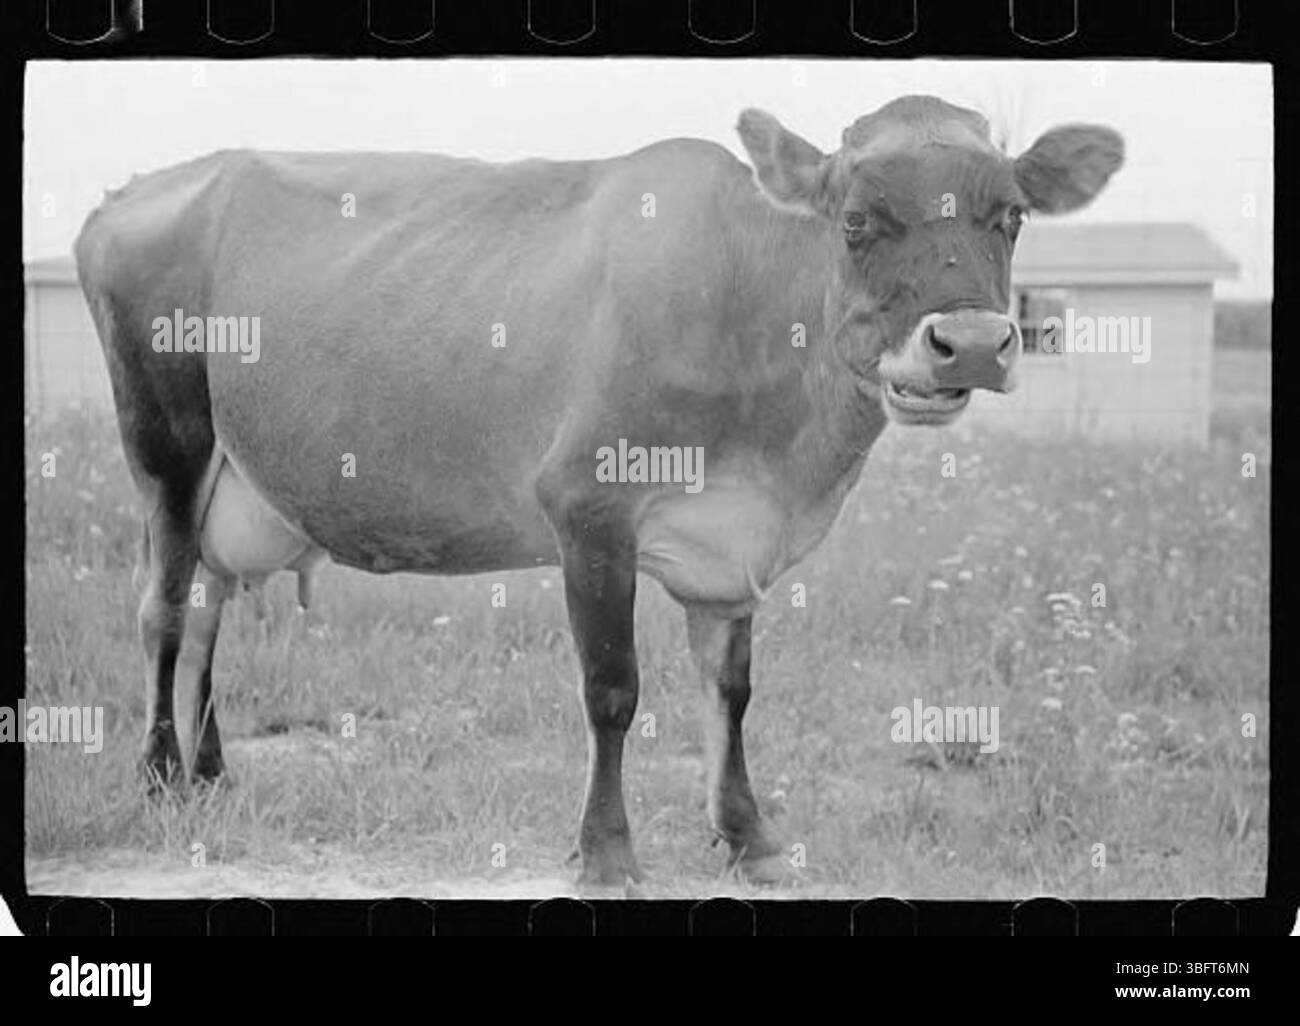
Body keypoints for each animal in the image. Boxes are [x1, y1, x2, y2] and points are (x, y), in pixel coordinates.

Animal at [75, 95, 1122, 888]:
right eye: (857, 220)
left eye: (1011, 216)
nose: (972, 344)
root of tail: (134, 191)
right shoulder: (589, 507)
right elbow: (613, 691)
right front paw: (608, 853)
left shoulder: (731, 545)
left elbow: (732, 691)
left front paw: (749, 838)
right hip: (166, 441)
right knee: (164, 610)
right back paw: (160, 777)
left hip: (237, 484)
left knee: (211, 609)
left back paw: (213, 770)